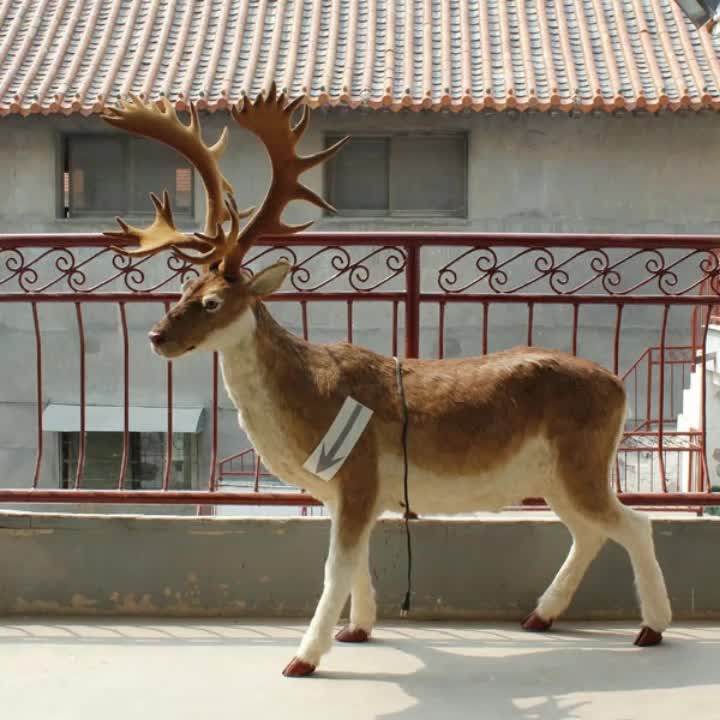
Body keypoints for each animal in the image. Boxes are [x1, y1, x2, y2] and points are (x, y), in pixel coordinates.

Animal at [102, 84, 672, 677]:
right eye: (184, 289)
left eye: (213, 302)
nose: (157, 337)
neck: (310, 404)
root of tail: (619, 387)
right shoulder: (350, 491)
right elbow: (356, 563)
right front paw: (358, 628)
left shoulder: (358, 475)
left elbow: (334, 567)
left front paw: (303, 657)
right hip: (555, 475)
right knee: (589, 532)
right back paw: (541, 615)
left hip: (582, 461)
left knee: (635, 524)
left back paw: (651, 628)